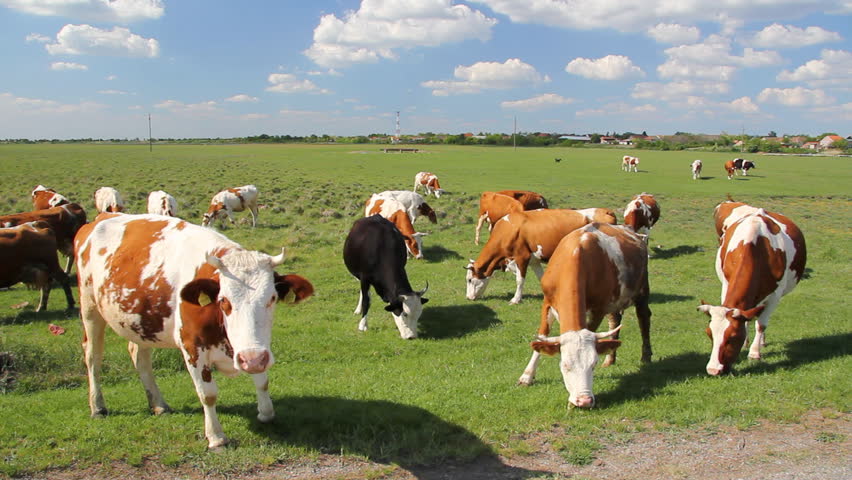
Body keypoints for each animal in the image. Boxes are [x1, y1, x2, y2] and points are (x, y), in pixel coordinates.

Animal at [74, 213, 314, 449]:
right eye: (223, 301)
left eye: (272, 298)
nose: (252, 359)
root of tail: (101, 217)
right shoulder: (193, 347)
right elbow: (208, 394)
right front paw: (216, 437)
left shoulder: (254, 347)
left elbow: (262, 380)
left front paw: (265, 413)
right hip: (89, 308)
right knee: (93, 356)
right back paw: (98, 406)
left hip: (141, 323)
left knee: (139, 357)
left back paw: (158, 403)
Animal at [466, 208, 617, 305]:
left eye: (469, 280)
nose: (467, 297)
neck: (508, 230)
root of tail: (606, 211)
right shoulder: (534, 261)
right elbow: (542, 278)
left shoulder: (522, 257)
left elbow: (519, 280)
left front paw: (516, 299)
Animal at [517, 222, 652, 409]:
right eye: (565, 365)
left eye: (593, 364)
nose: (584, 400)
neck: (576, 256)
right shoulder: (547, 301)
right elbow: (542, 335)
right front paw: (527, 376)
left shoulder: (598, 309)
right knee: (615, 320)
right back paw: (610, 359)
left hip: (642, 290)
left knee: (644, 318)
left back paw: (646, 356)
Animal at [698, 206, 806, 375]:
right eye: (709, 334)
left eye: (732, 337)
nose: (713, 370)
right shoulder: (726, 284)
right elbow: (747, 318)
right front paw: (745, 344)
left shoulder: (775, 296)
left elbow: (761, 324)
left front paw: (754, 353)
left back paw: (761, 342)